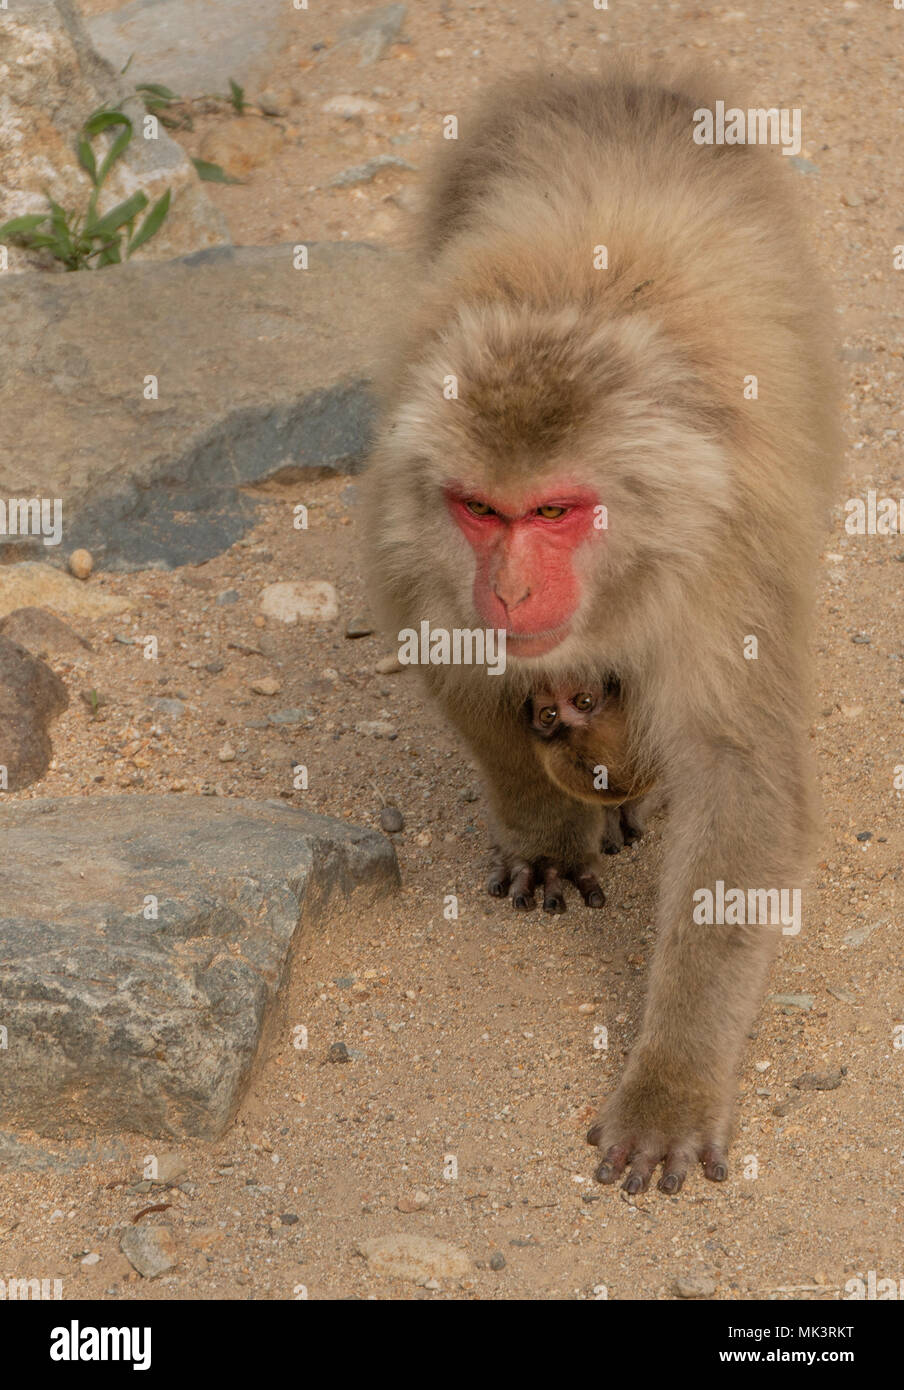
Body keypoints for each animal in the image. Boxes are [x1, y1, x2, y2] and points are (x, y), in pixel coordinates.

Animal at [363, 65, 840, 1194]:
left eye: (553, 511)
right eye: (481, 510)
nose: (506, 590)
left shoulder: (723, 567)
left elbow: (738, 777)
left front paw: (672, 1076)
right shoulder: (412, 537)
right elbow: (464, 678)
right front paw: (546, 831)